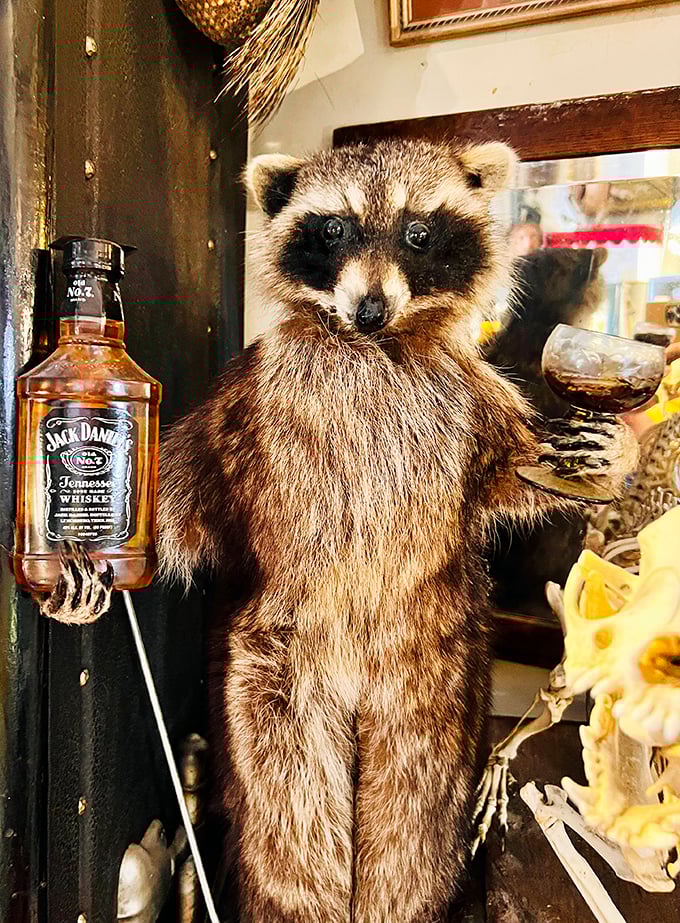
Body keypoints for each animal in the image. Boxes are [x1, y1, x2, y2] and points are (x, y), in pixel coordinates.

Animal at [40, 140, 637, 922]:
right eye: (333, 229)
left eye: (418, 232)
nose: (371, 308)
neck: (369, 349)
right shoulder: (248, 397)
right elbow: (179, 490)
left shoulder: (474, 403)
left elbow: (518, 469)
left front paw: (606, 450)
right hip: (271, 670)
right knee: (291, 828)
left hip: (438, 669)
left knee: (412, 827)